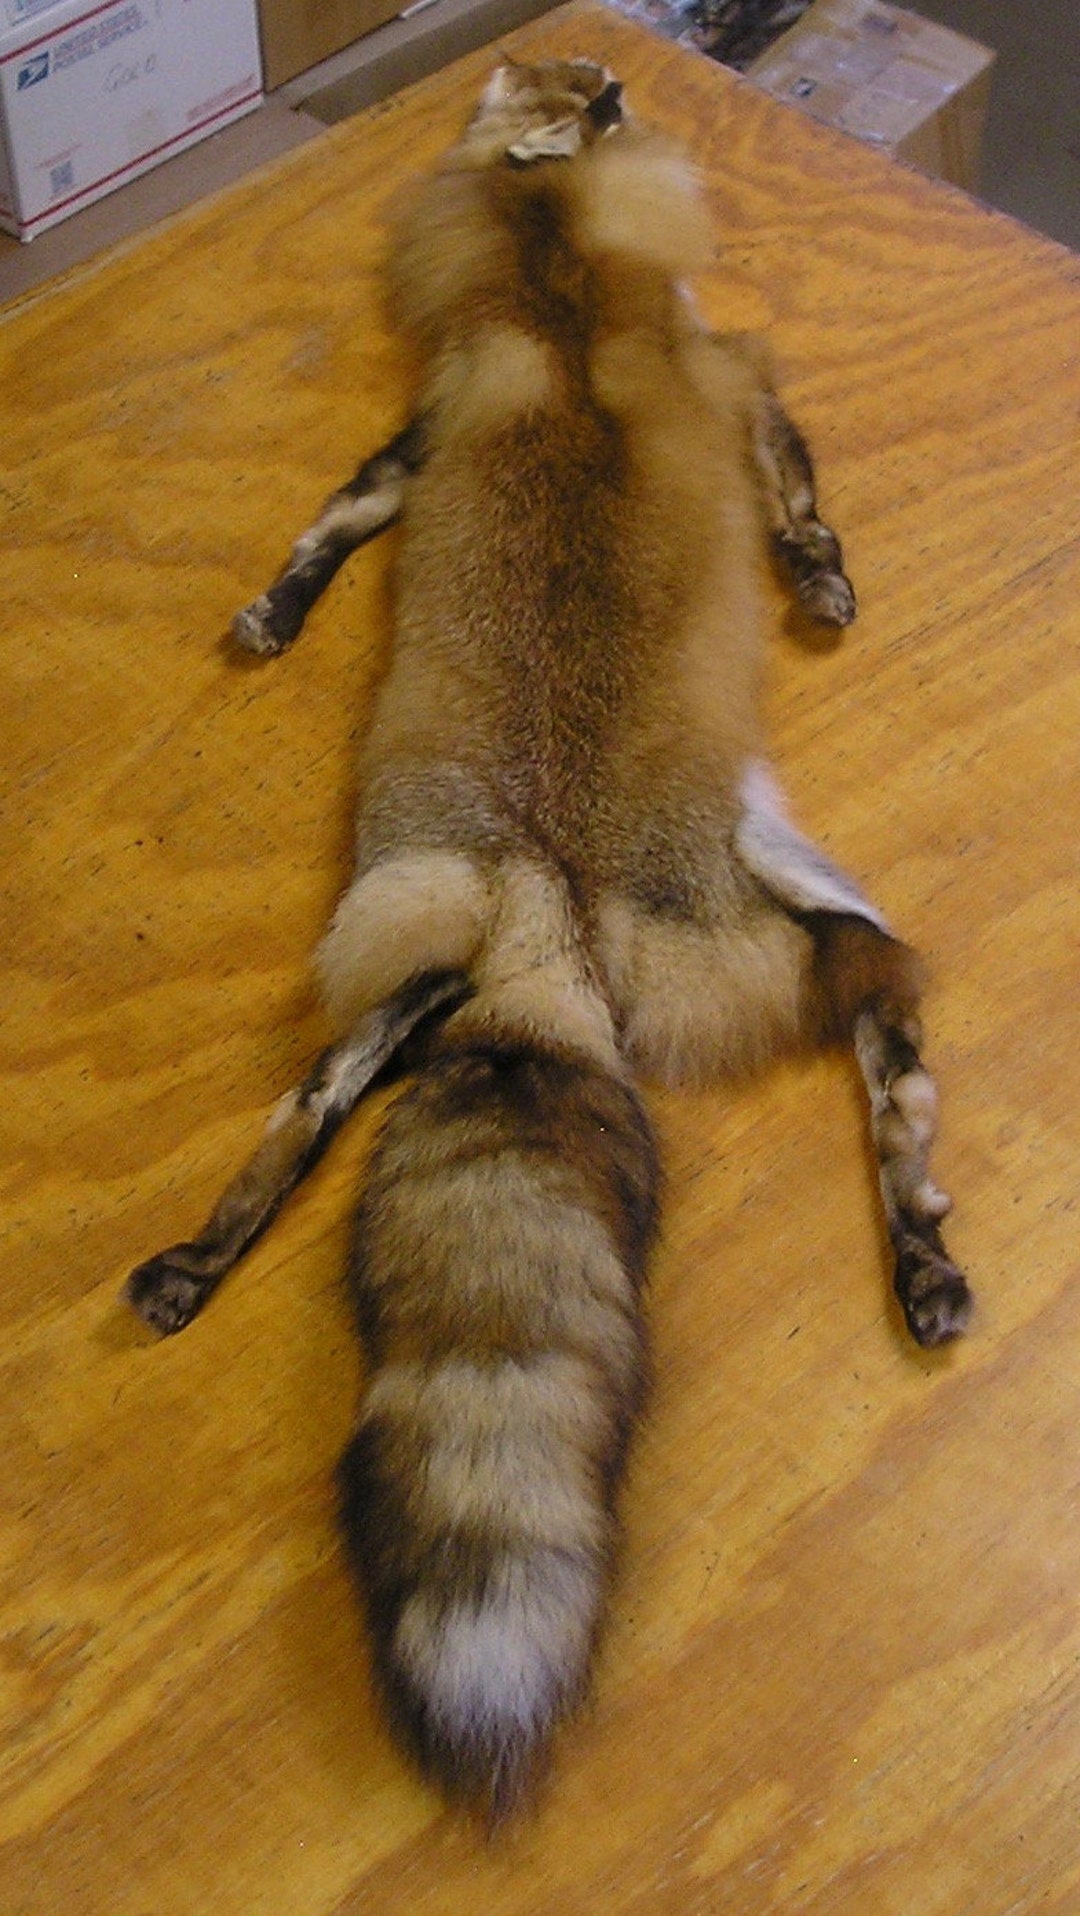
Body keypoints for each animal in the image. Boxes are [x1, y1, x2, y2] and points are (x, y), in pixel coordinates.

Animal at [124, 57, 972, 1819]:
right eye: (559, 85)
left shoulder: (438, 413)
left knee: (317, 1099)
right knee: (893, 1033)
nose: (614, 68)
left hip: (417, 939)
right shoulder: (734, 364)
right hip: (790, 884)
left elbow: (338, 512)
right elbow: (791, 475)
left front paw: (270, 616)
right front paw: (821, 574)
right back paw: (926, 1252)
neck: (557, 264)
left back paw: (193, 1262)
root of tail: (549, 930)